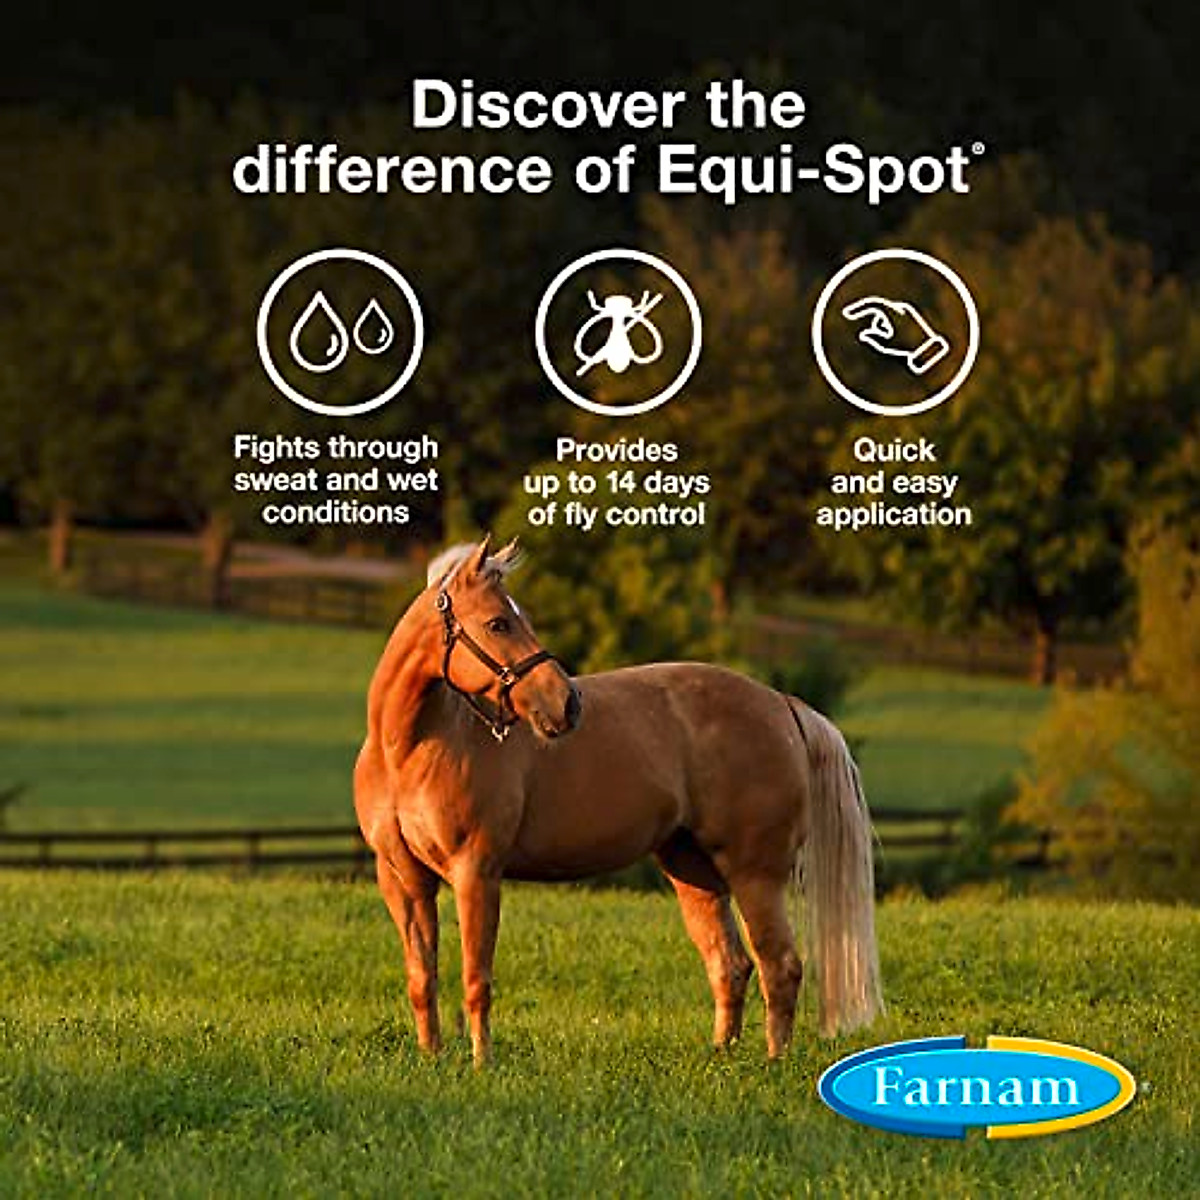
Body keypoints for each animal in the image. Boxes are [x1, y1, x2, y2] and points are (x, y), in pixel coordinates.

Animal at [354, 536, 883, 1065]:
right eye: (498, 622)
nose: (566, 703)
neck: (410, 749)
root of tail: (781, 704)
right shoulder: (402, 879)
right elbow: (422, 977)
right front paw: (432, 1058)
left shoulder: (476, 871)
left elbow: (475, 979)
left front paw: (482, 1064)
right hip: (692, 870)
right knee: (730, 964)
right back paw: (721, 1055)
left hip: (756, 873)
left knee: (781, 966)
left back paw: (773, 1062)